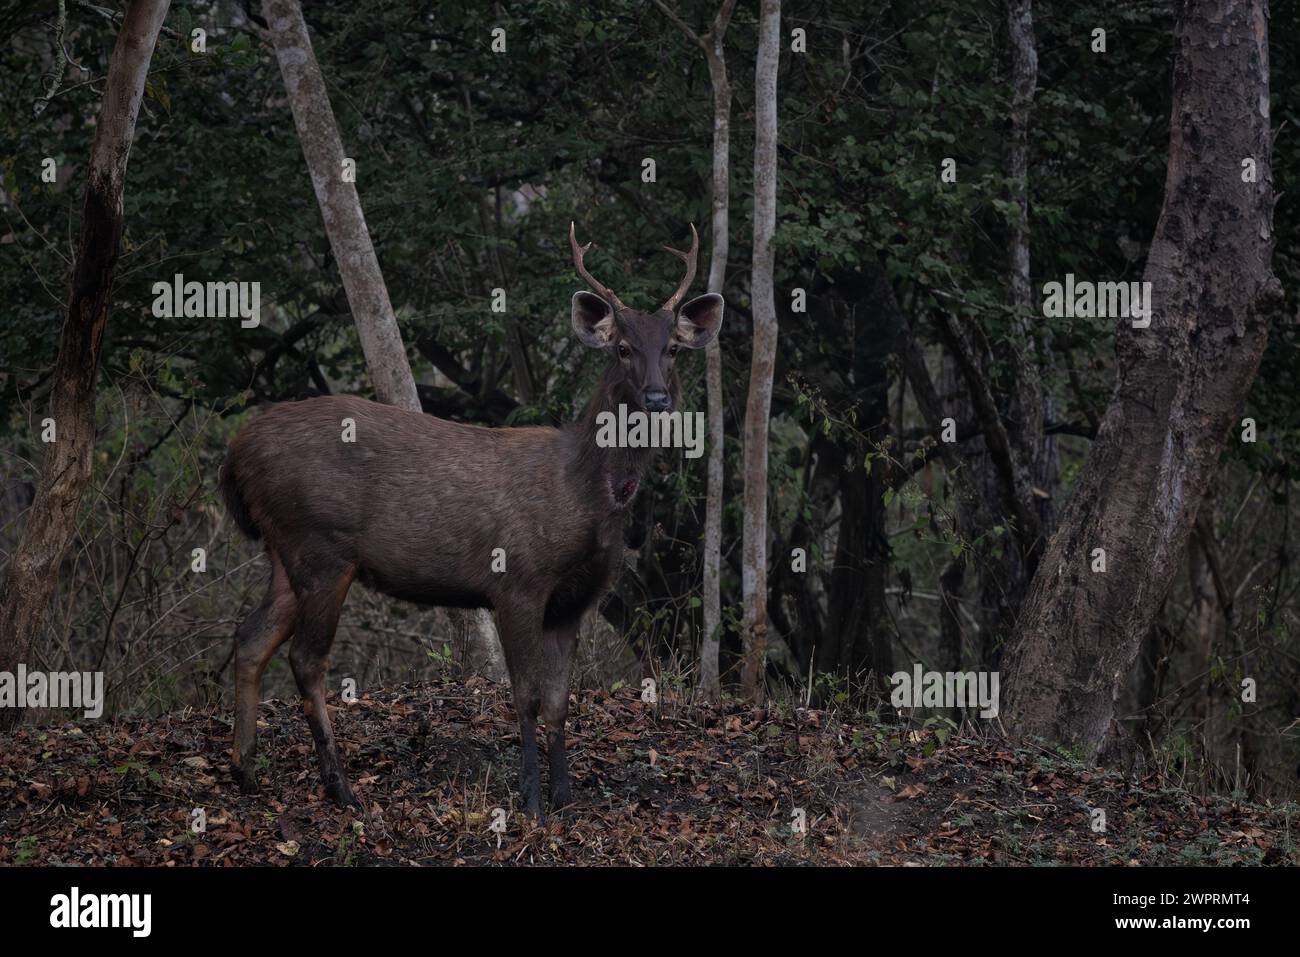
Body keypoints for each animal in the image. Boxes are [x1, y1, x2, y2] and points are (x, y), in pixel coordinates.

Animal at [220, 223, 723, 821]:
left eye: (672, 348)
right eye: (623, 348)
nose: (657, 399)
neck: (582, 493)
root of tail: (236, 451)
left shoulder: (574, 600)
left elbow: (560, 701)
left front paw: (564, 797)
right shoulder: (517, 581)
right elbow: (526, 695)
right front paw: (530, 800)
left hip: (285, 550)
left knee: (252, 637)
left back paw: (246, 771)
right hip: (320, 545)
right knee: (305, 658)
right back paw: (339, 787)